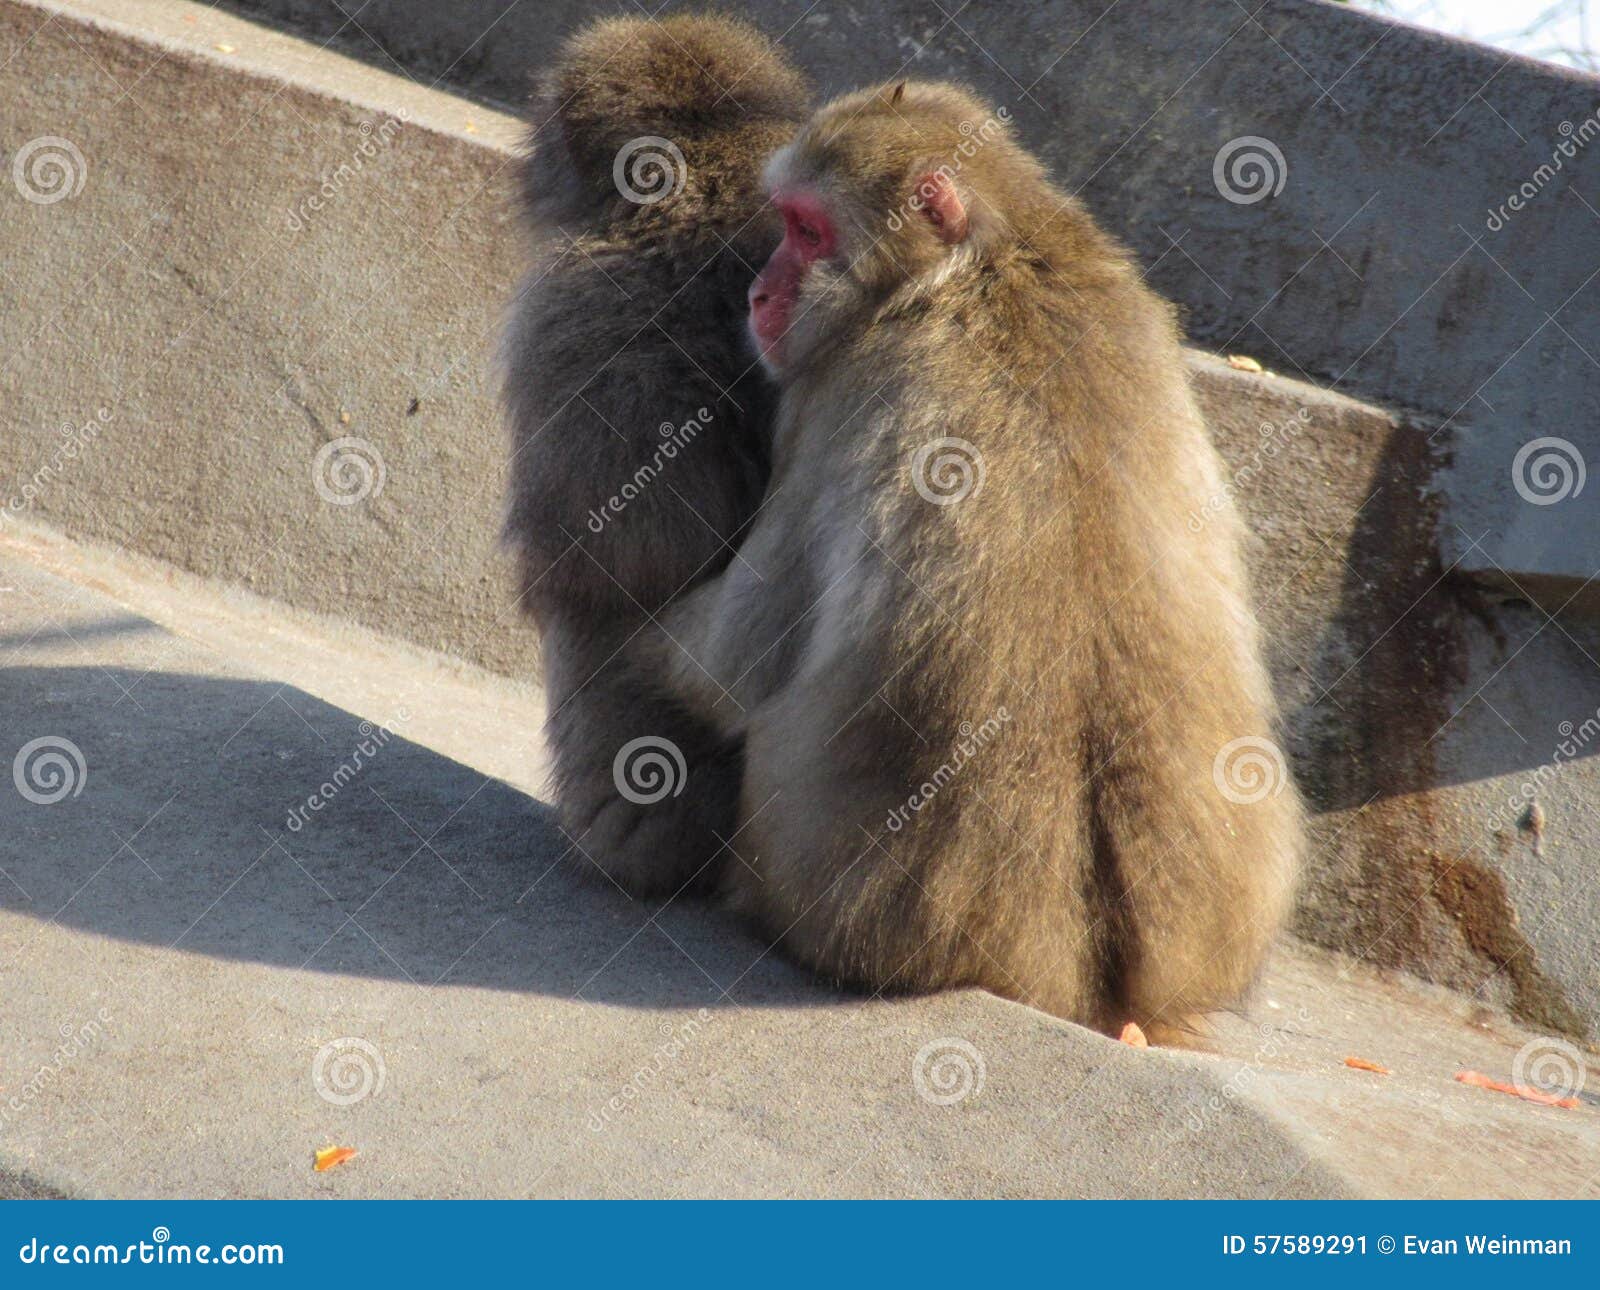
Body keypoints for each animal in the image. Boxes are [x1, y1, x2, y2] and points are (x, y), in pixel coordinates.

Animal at [646, 81, 1303, 1038]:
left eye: (806, 229)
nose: (760, 293)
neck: (984, 263)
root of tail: (1078, 983)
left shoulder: (839, 392)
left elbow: (738, 660)